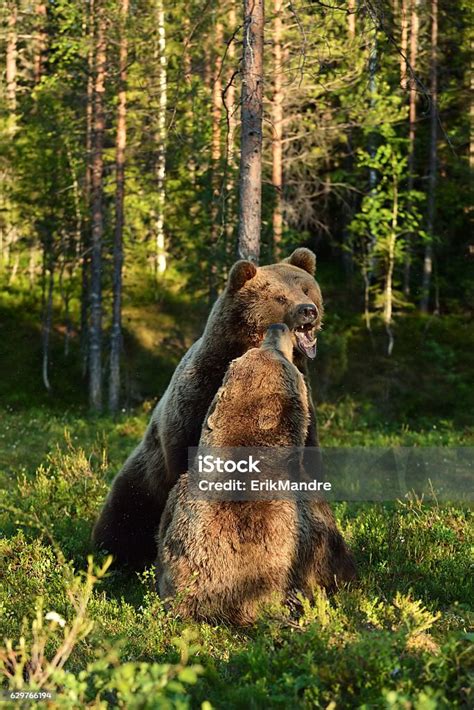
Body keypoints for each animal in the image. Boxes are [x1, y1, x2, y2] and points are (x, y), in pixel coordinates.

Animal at [93, 248, 324, 570]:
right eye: (279, 297)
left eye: (306, 288)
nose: (308, 311)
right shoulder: (196, 401)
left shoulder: (299, 405)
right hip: (140, 483)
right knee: (122, 519)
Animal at [155, 324, 356, 625]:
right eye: (279, 356)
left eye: (251, 351)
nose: (278, 327)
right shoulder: (307, 512)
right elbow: (330, 554)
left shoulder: (175, 497)